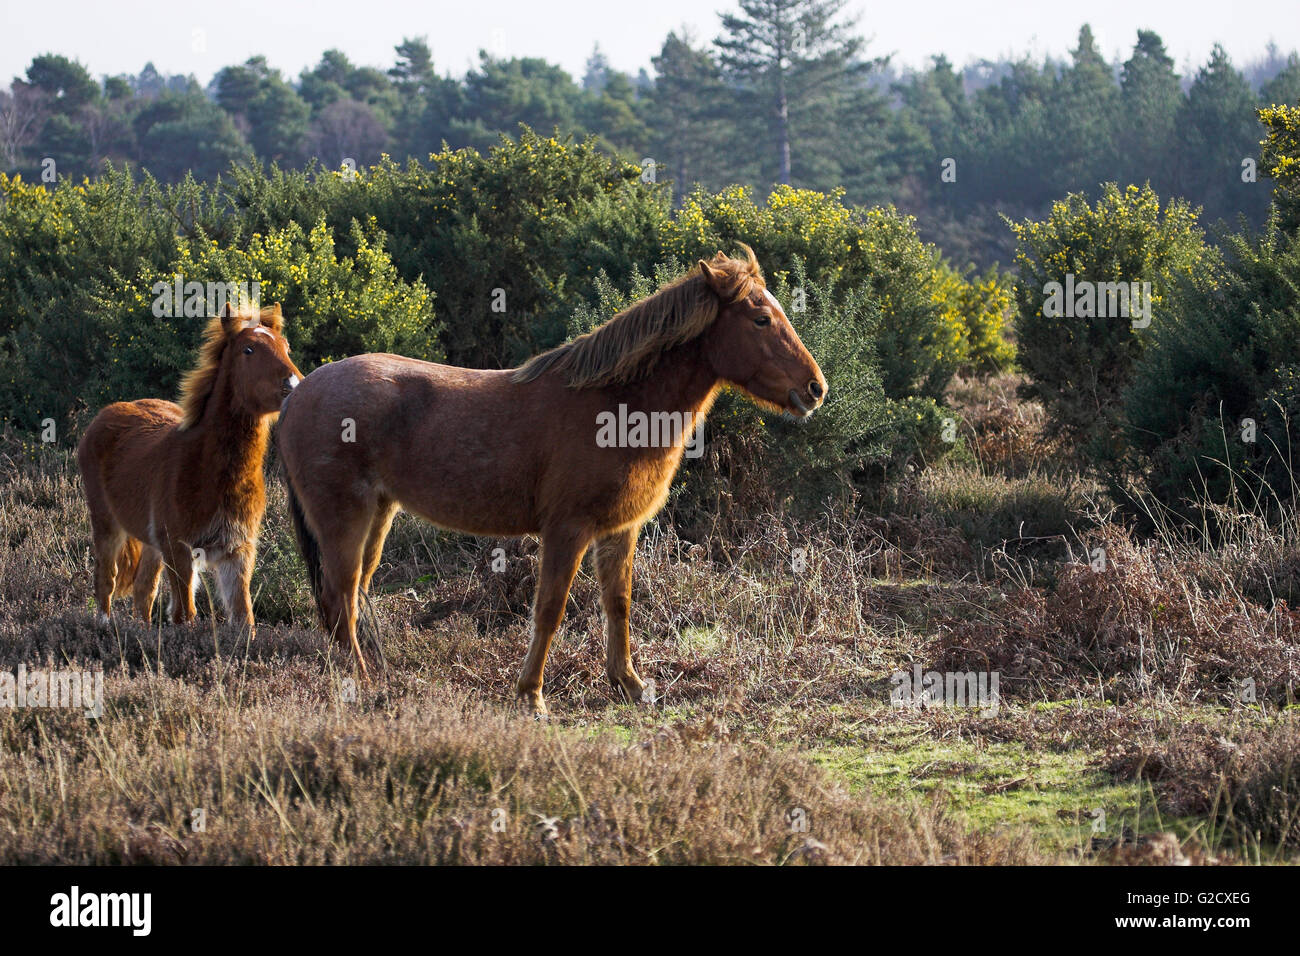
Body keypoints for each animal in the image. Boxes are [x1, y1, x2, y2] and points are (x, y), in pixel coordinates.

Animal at [77, 302, 301, 632]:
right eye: (248, 349)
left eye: (286, 347)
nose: (294, 386)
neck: (207, 469)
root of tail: (105, 413)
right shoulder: (180, 549)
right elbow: (185, 615)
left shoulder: (238, 552)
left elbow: (243, 617)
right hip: (107, 523)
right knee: (106, 581)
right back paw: (104, 628)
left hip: (151, 543)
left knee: (143, 592)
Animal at [277, 246, 826, 714]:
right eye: (760, 318)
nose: (815, 389)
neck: (616, 405)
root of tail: (297, 393)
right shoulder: (568, 529)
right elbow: (550, 609)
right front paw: (531, 695)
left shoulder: (619, 530)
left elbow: (618, 604)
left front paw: (630, 684)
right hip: (344, 522)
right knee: (340, 600)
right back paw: (362, 683)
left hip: (377, 518)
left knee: (348, 600)